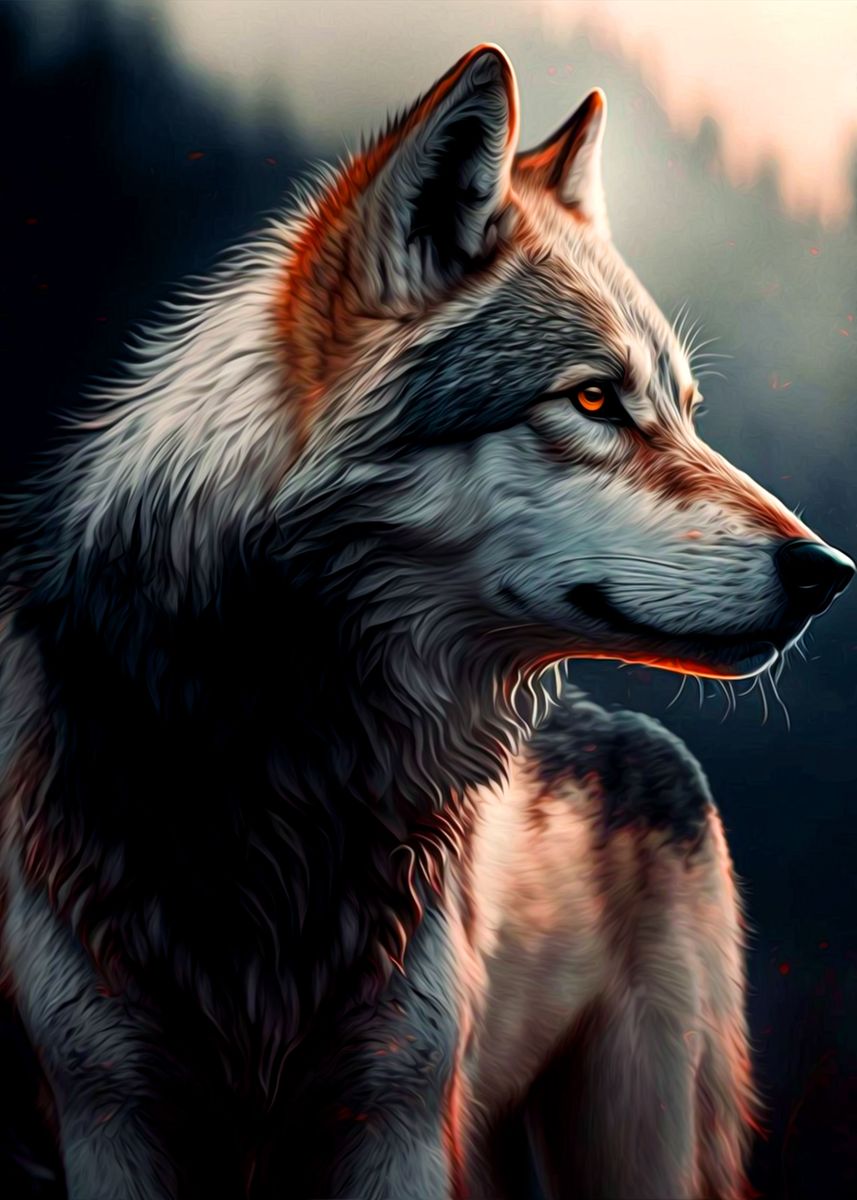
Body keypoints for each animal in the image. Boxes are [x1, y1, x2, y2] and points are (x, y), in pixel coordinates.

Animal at [0, 42, 852, 1200]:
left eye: (683, 412)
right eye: (594, 401)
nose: (829, 572)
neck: (278, 783)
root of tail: (636, 733)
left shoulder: (393, 1118)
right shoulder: (108, 1116)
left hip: (632, 1137)